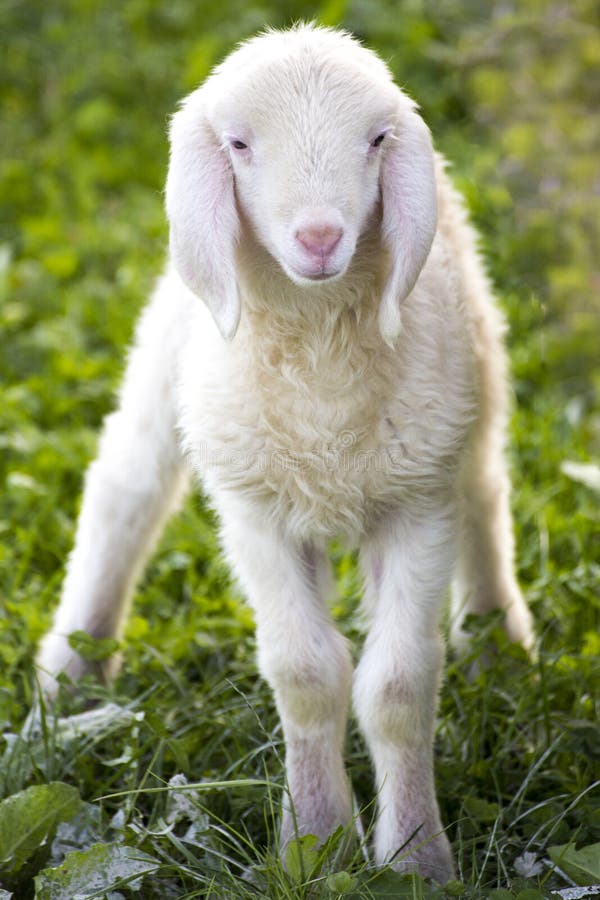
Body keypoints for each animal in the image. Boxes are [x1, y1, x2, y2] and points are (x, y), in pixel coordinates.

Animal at [36, 23, 534, 881]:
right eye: (238, 144)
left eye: (376, 140)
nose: (319, 237)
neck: (319, 361)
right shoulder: (258, 512)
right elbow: (306, 675)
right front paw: (316, 842)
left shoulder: (416, 505)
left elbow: (397, 687)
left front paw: (415, 856)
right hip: (169, 365)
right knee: (124, 489)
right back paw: (73, 670)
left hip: (470, 388)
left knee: (484, 491)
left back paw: (497, 635)